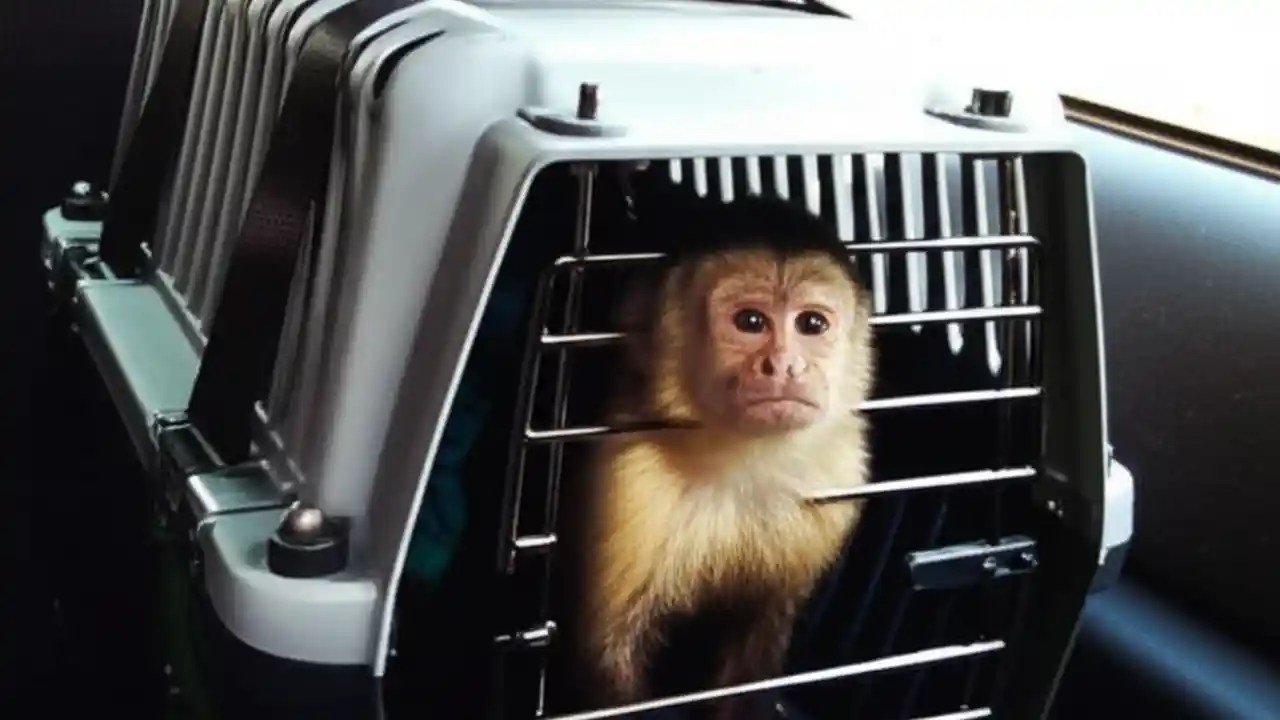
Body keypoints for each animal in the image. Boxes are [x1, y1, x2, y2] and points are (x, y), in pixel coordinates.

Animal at [553, 191, 876, 720]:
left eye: (812, 324)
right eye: (750, 322)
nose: (784, 365)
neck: (746, 459)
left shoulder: (838, 475)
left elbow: (759, 640)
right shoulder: (630, 480)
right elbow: (606, 662)